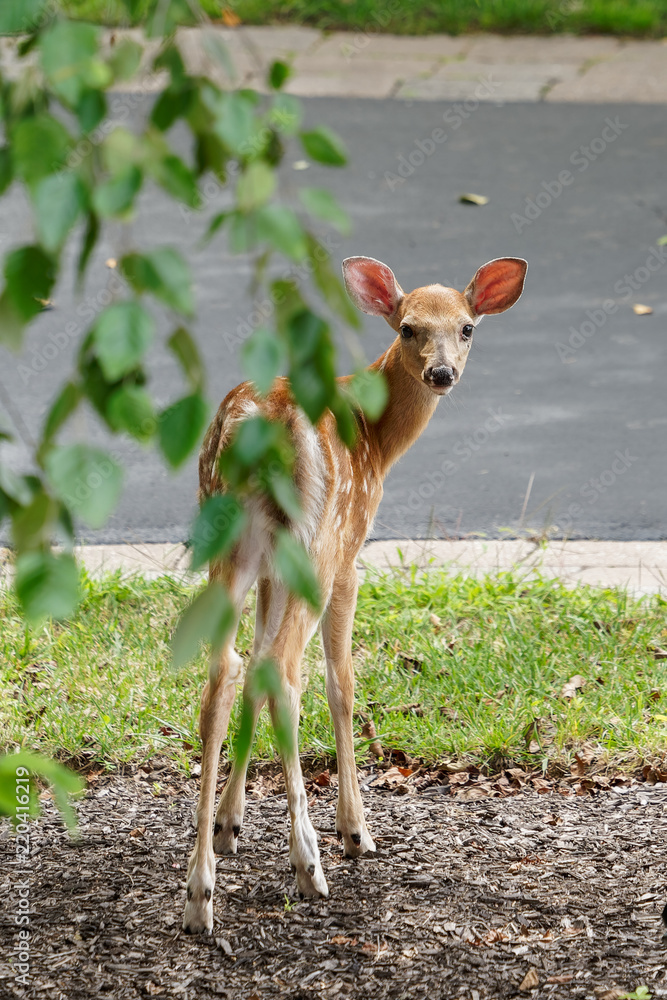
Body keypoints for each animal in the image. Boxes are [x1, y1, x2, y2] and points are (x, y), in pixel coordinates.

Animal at [183, 254, 528, 934]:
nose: (442, 373)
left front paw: (232, 823)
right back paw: (309, 863)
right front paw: (355, 832)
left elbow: (251, 674)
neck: (379, 441)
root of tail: (255, 430)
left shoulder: (271, 570)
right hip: (318, 541)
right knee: (286, 667)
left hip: (228, 540)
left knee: (228, 667)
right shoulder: (350, 556)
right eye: (408, 327)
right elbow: (342, 682)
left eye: (467, 327)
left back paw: (198, 896)